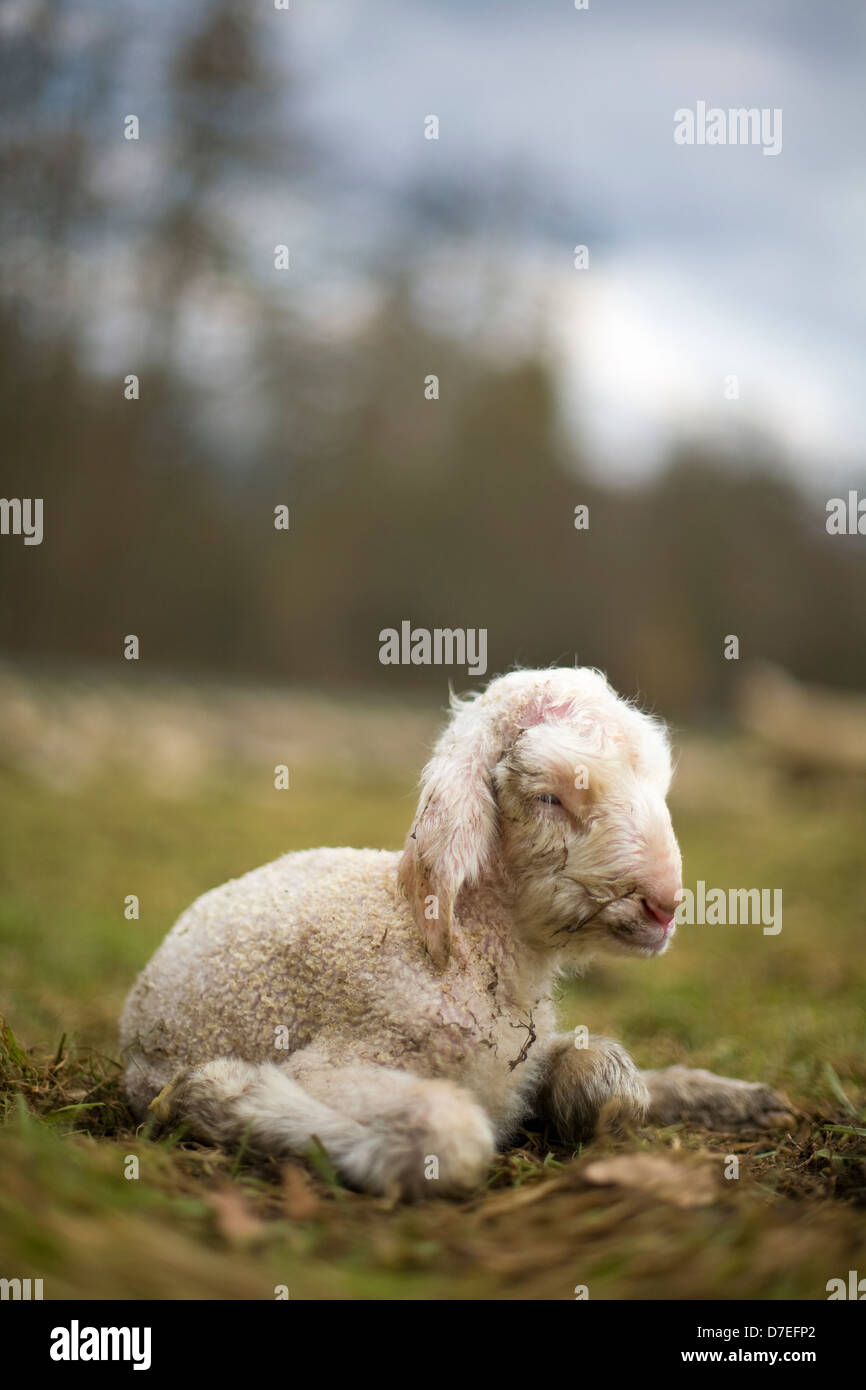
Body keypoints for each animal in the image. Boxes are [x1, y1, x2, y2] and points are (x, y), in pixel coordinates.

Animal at [120, 667, 790, 1198]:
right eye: (548, 797)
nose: (664, 906)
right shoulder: (336, 1062)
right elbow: (455, 1134)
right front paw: (214, 1095)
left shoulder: (519, 1062)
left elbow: (611, 1080)